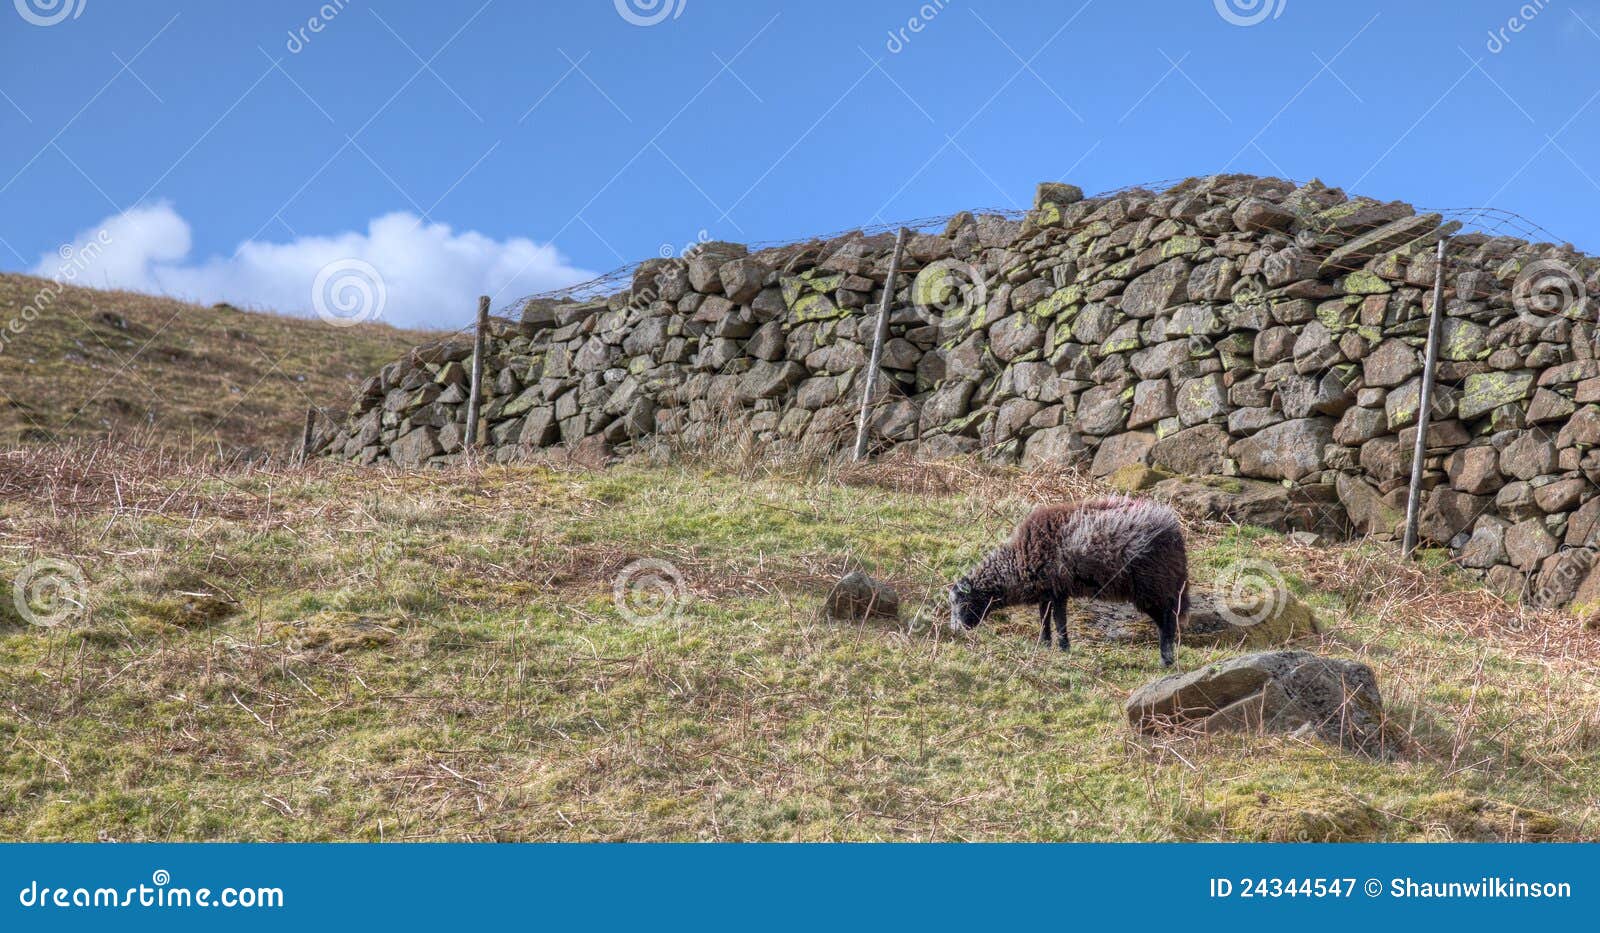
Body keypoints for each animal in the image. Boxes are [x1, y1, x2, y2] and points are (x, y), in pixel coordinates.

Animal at [948, 497, 1190, 666]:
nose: (956, 630)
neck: (1015, 563)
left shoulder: (1057, 589)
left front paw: (1063, 648)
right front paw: (1045, 645)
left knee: (1167, 620)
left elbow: (1059, 621)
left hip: (1152, 586)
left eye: (962, 602)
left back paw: (1166, 659)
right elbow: (1045, 619)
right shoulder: (1048, 591)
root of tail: (1173, 530)